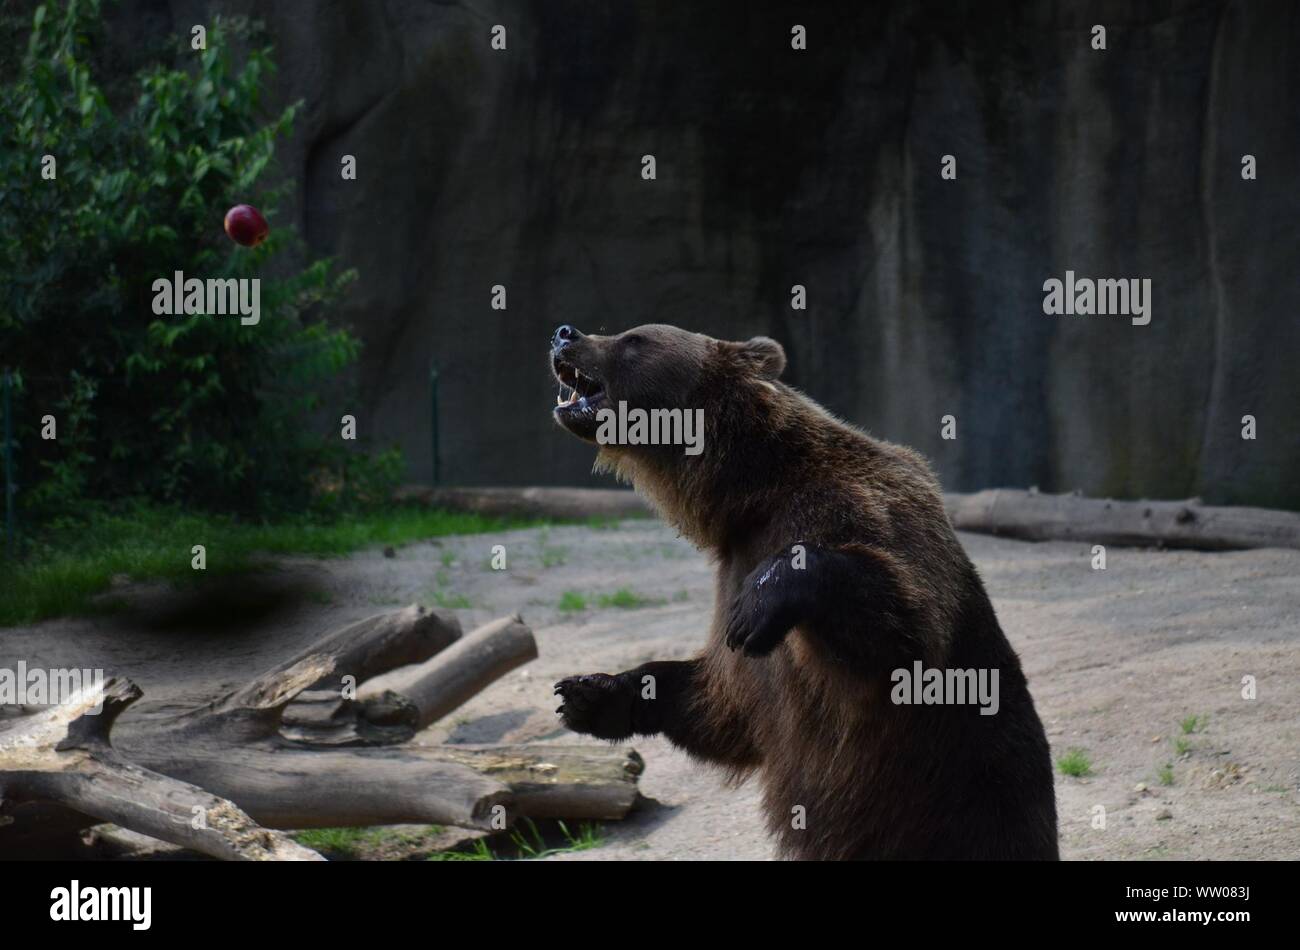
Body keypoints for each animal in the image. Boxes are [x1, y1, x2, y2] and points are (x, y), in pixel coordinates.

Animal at [548, 322, 1059, 860]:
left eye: (634, 339)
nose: (565, 333)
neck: (751, 491)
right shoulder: (734, 563)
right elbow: (722, 700)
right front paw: (591, 693)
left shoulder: (860, 506)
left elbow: (907, 633)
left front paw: (765, 598)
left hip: (963, 805)